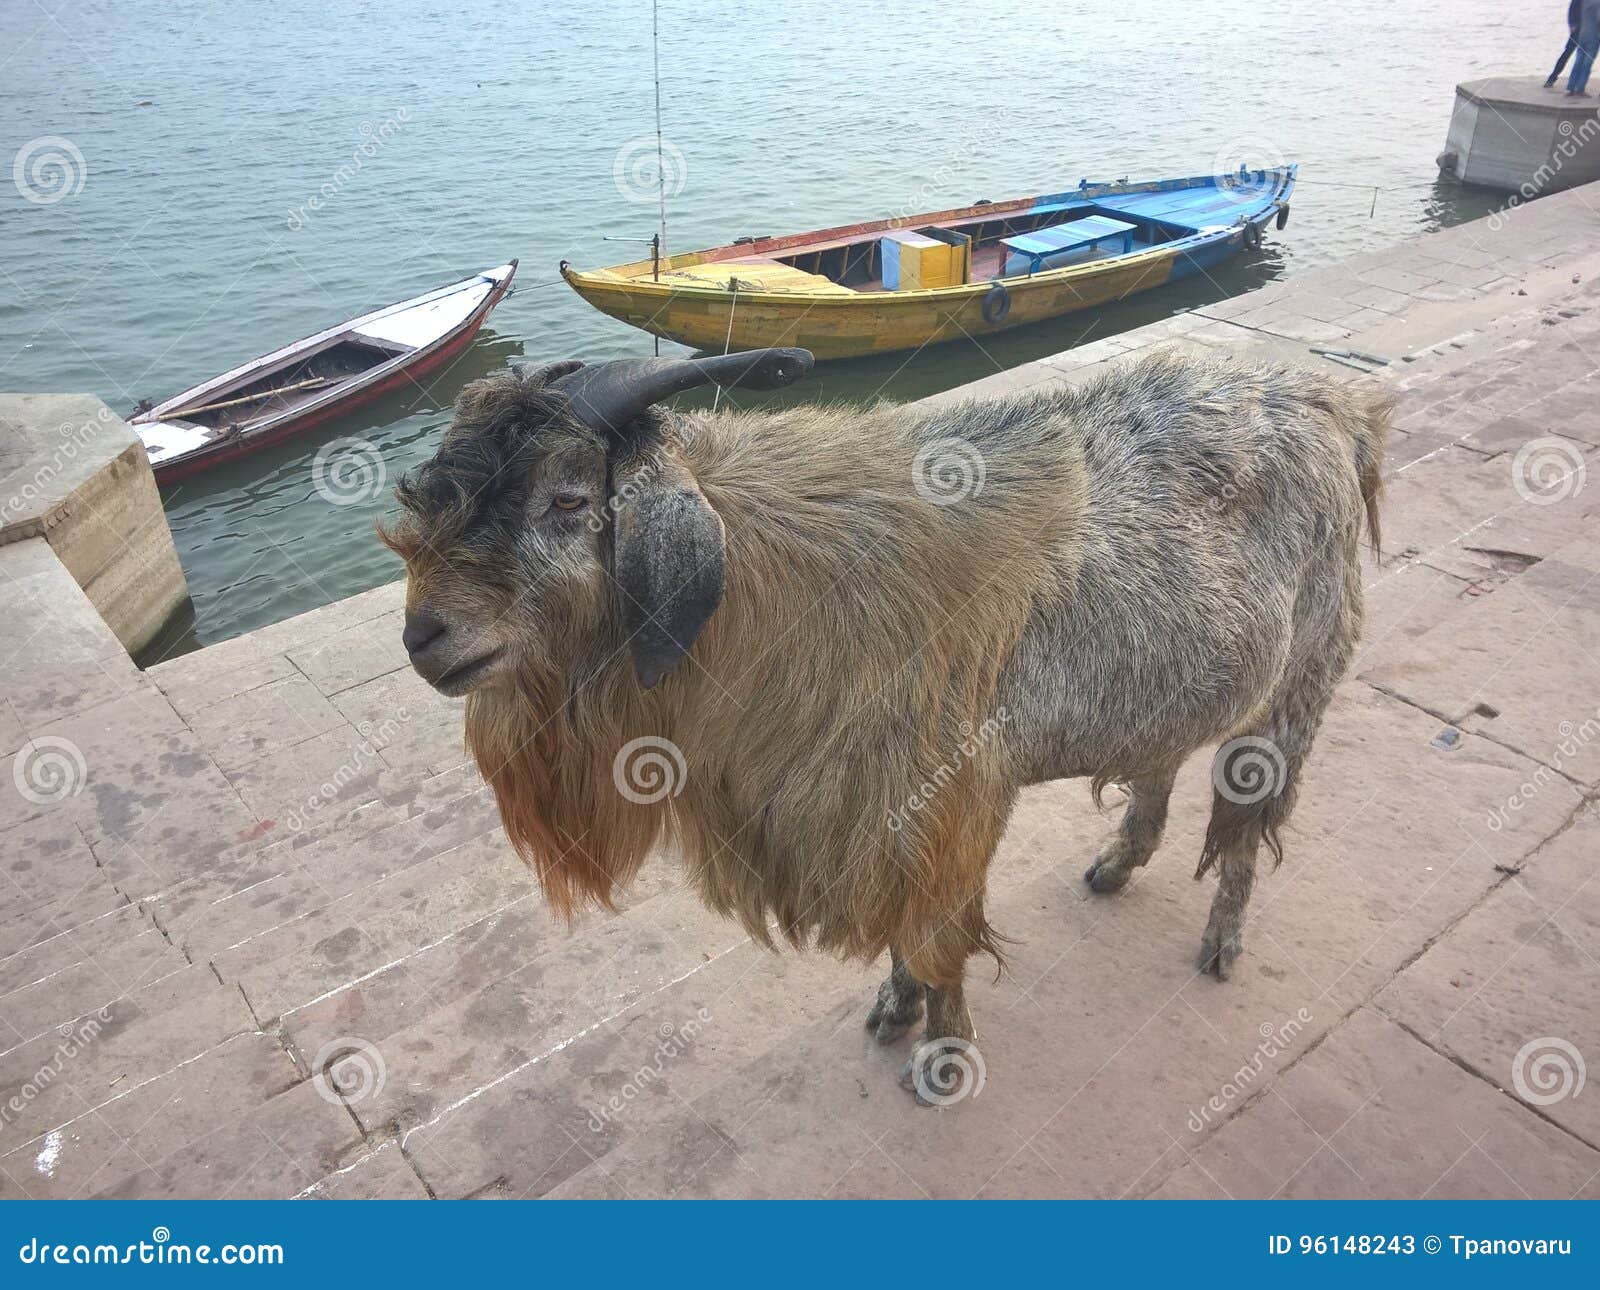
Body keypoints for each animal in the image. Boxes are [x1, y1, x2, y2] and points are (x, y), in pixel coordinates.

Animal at [379, 346, 1387, 1103]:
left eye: (568, 501)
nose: (425, 636)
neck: (773, 585)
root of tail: (1333, 402)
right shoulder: (875, 822)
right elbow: (907, 934)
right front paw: (893, 1008)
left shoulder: (944, 807)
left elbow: (940, 940)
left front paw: (941, 1058)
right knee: (1162, 760)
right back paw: (1115, 863)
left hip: (1306, 673)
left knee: (1251, 820)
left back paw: (1221, 943)